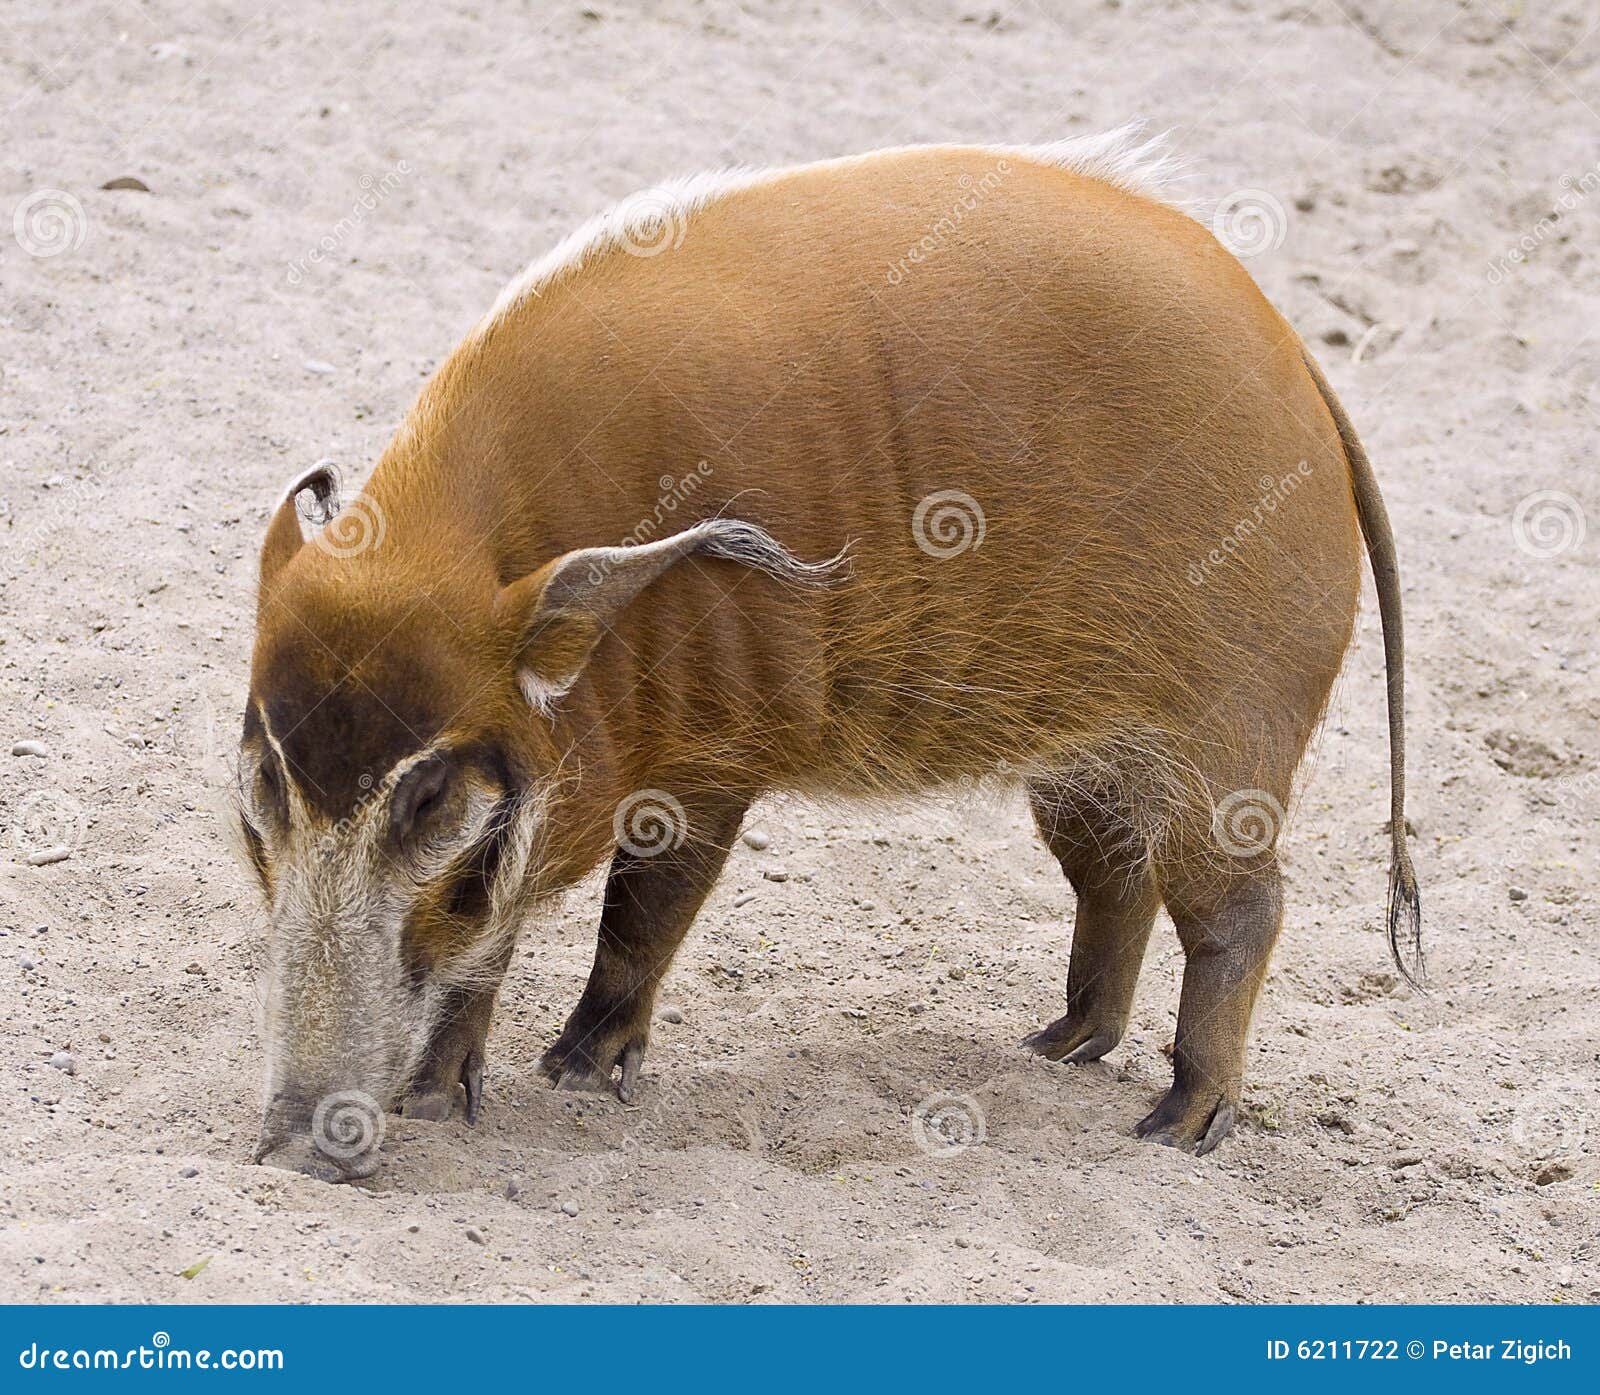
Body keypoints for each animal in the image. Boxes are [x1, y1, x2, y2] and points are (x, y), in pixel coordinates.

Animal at [240, 126, 1420, 1179]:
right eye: (259, 790)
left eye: (436, 801)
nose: (298, 1149)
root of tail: (1297, 356)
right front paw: (468, 1098)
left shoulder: (711, 761)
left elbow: (640, 910)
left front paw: (561, 1075)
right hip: (1087, 761)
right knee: (1116, 878)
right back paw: (1057, 1046)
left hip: (1227, 741)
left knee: (1240, 910)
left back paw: (1179, 1124)